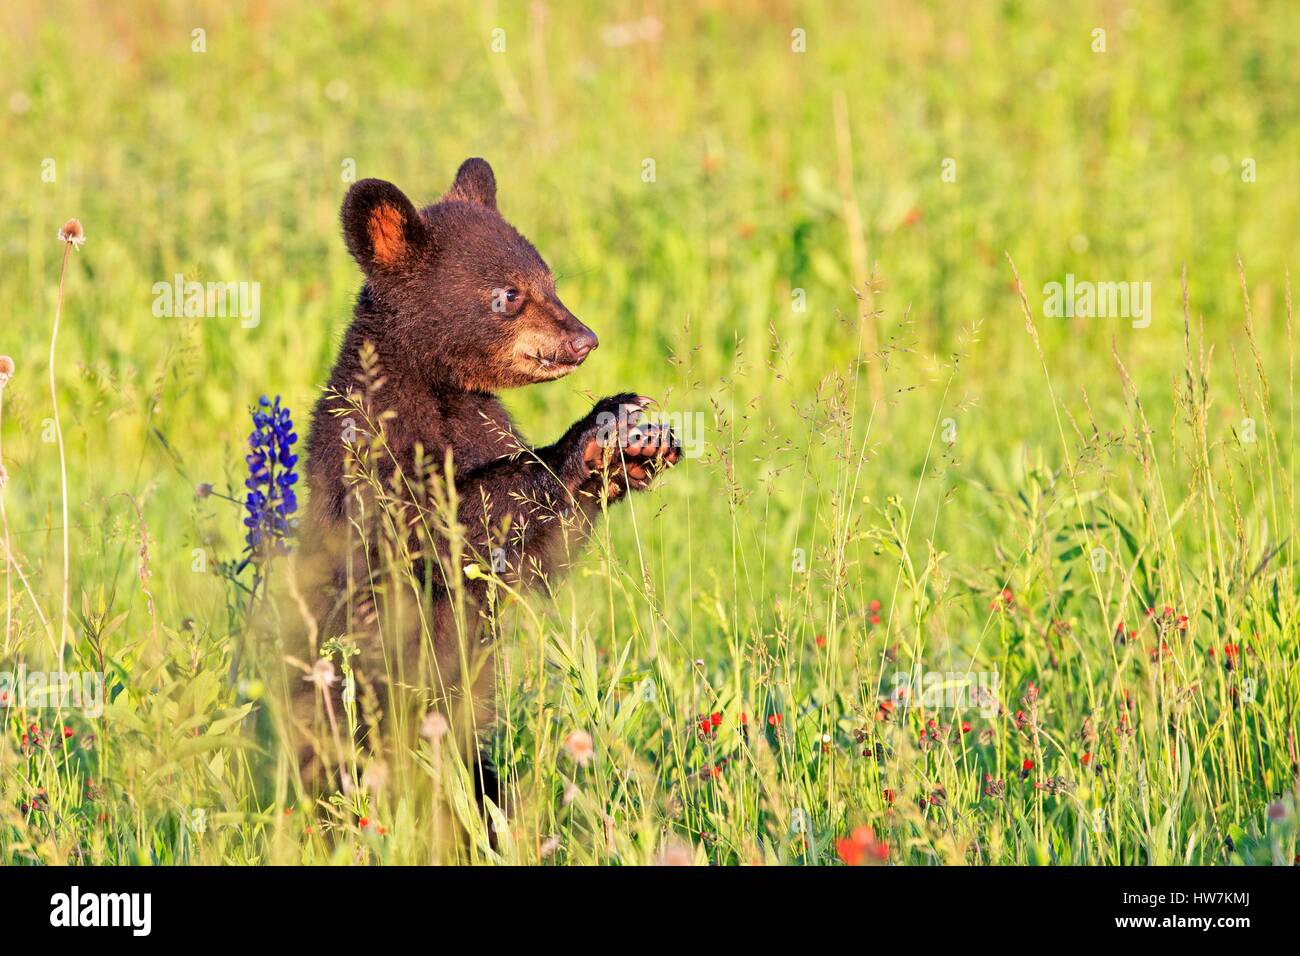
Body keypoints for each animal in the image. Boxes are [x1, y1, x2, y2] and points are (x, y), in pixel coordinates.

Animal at [287, 158, 680, 806]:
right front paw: (594, 431)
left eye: (550, 280)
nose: (585, 340)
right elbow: (433, 524)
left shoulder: (483, 423)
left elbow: (534, 553)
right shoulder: (368, 451)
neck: (437, 388)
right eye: (509, 294)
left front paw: (633, 448)